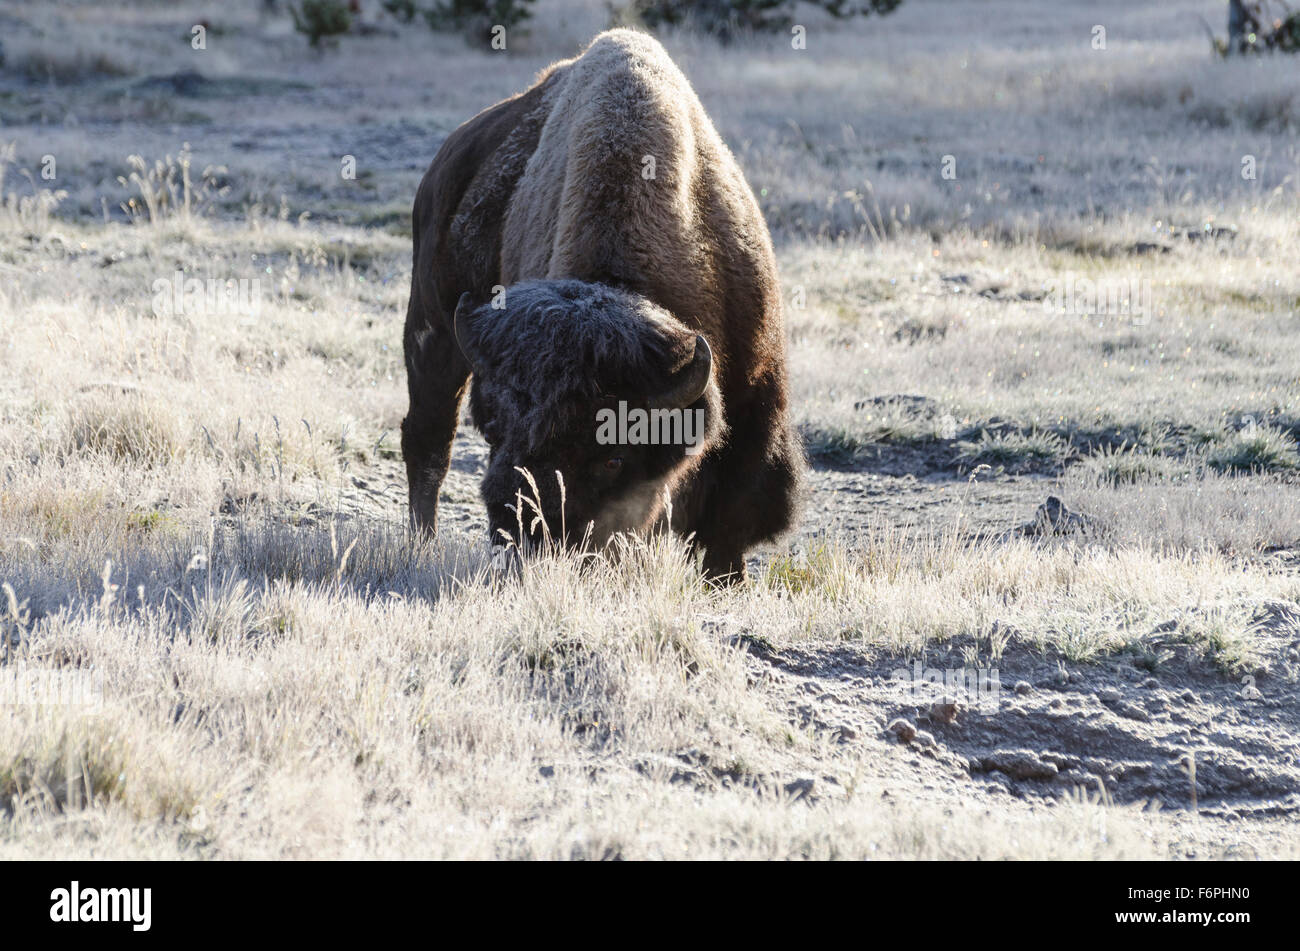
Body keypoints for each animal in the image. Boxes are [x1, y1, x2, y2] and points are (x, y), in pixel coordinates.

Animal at [401, 28, 802, 581]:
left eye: (614, 458)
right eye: (496, 435)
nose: (529, 537)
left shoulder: (754, 399)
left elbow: (727, 524)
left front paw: (727, 583)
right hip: (434, 331)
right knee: (428, 442)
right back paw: (420, 547)